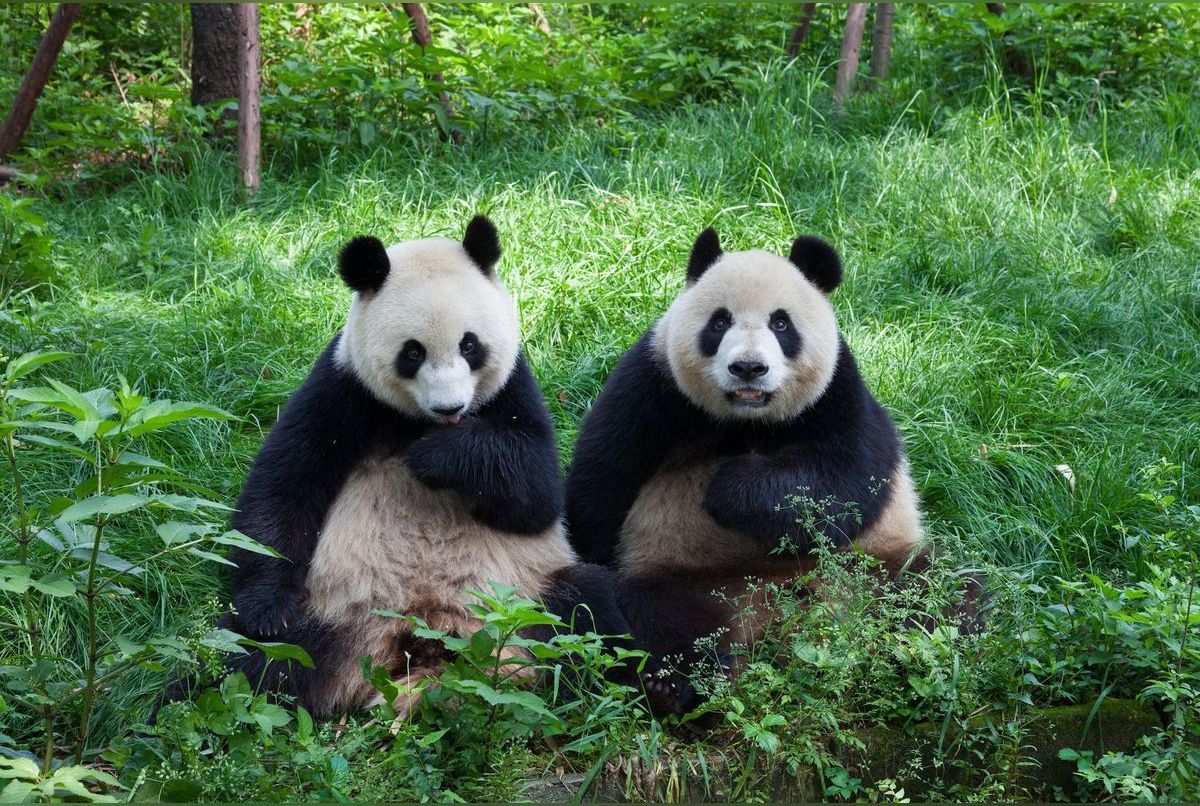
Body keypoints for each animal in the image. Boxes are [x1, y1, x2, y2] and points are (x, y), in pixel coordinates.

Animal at [223, 216, 631, 717]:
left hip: (527, 596)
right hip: (331, 613)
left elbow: (537, 494)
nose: (449, 408)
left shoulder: (513, 386)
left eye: (470, 345)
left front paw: (436, 457)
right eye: (412, 352)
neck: (418, 422)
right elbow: (286, 482)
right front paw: (267, 611)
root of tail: (425, 643)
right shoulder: (345, 385)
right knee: (247, 660)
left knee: (586, 615)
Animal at [565, 227, 945, 715]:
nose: (748, 368)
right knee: (661, 615)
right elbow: (602, 476)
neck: (748, 420)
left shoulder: (838, 392)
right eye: (719, 322)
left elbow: (846, 480)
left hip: (870, 567)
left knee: (933, 595)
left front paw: (731, 488)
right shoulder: (653, 384)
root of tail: (771, 618)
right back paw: (677, 686)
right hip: (685, 575)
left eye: (781, 325)